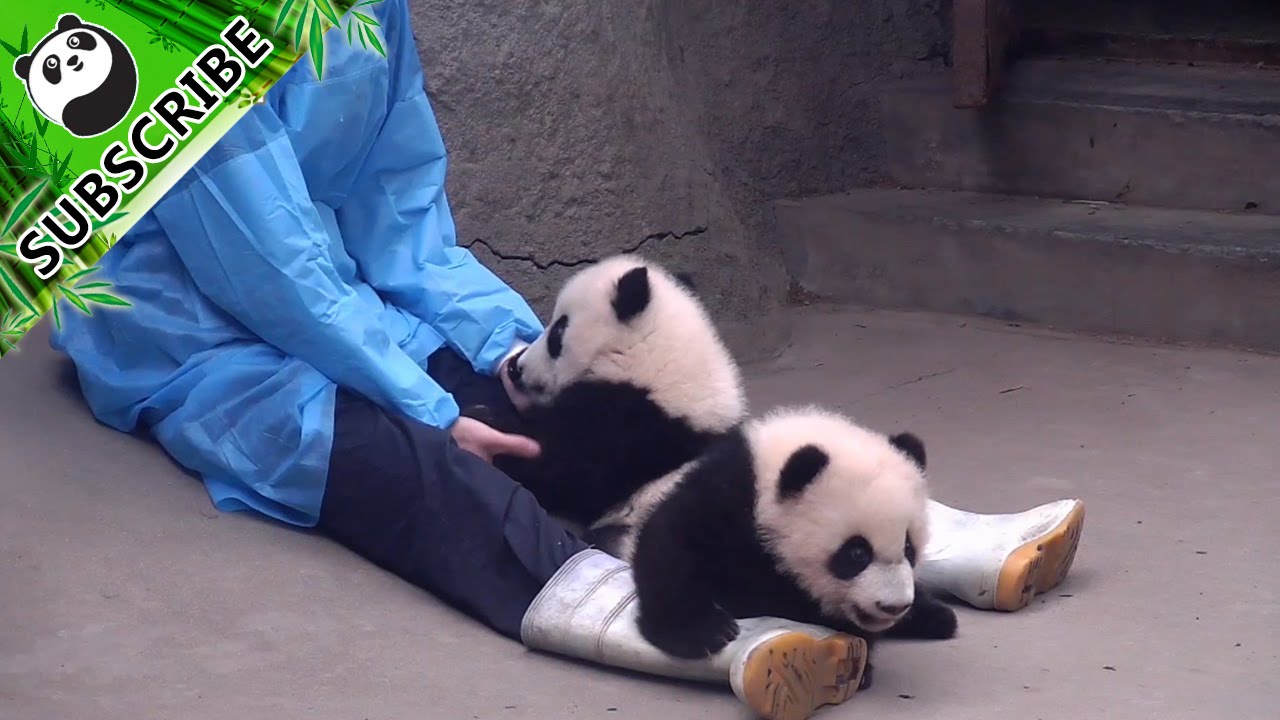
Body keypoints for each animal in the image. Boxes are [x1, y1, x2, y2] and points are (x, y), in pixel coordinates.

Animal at [586, 405, 959, 688]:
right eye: (856, 553)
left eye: (909, 548)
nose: (893, 606)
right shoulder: (727, 499)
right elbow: (674, 548)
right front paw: (704, 633)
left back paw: (935, 616)